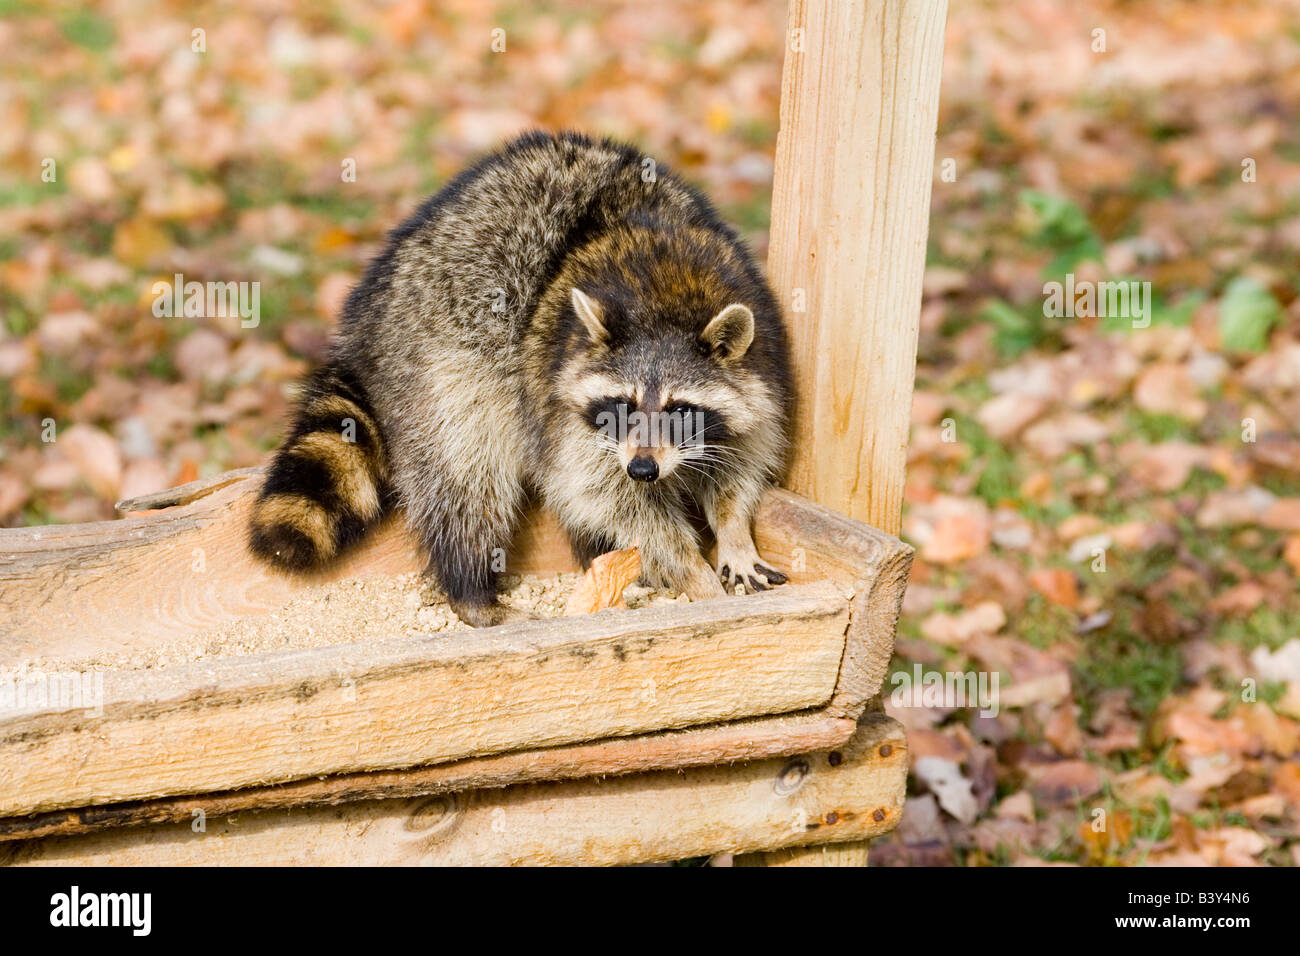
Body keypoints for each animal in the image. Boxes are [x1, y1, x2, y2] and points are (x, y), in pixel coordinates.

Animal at [249, 130, 793, 627]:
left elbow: (742, 460)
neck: (669, 296)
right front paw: (690, 571)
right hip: (440, 362)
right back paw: (472, 591)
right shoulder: (558, 402)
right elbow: (608, 498)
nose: (643, 469)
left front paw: (733, 531)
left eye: (680, 409)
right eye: (622, 404)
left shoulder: (763, 359)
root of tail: (367, 314)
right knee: (466, 479)